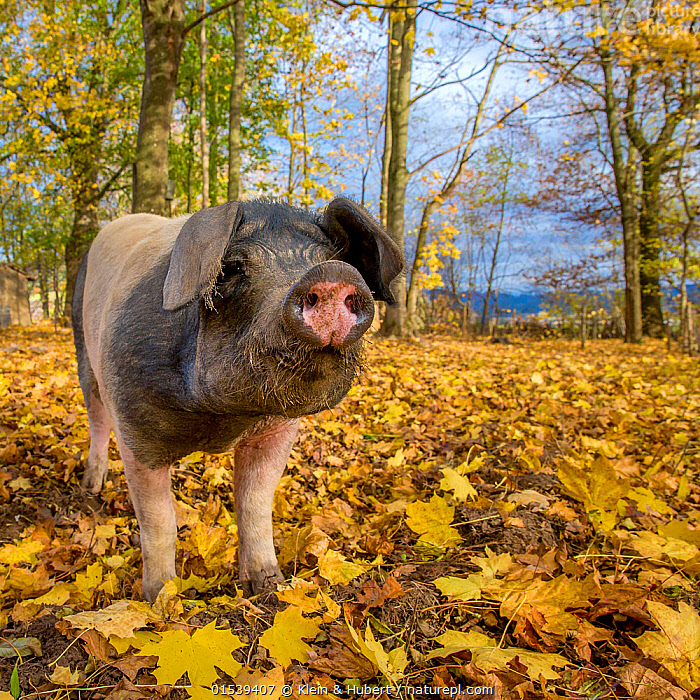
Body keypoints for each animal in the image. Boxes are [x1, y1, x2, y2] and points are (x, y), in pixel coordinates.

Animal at [71, 197, 403, 601]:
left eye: (331, 257)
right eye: (231, 268)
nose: (333, 273)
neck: (222, 417)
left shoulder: (277, 430)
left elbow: (255, 502)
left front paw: (269, 587)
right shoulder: (136, 430)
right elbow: (159, 521)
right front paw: (161, 598)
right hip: (83, 348)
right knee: (97, 417)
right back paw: (91, 487)